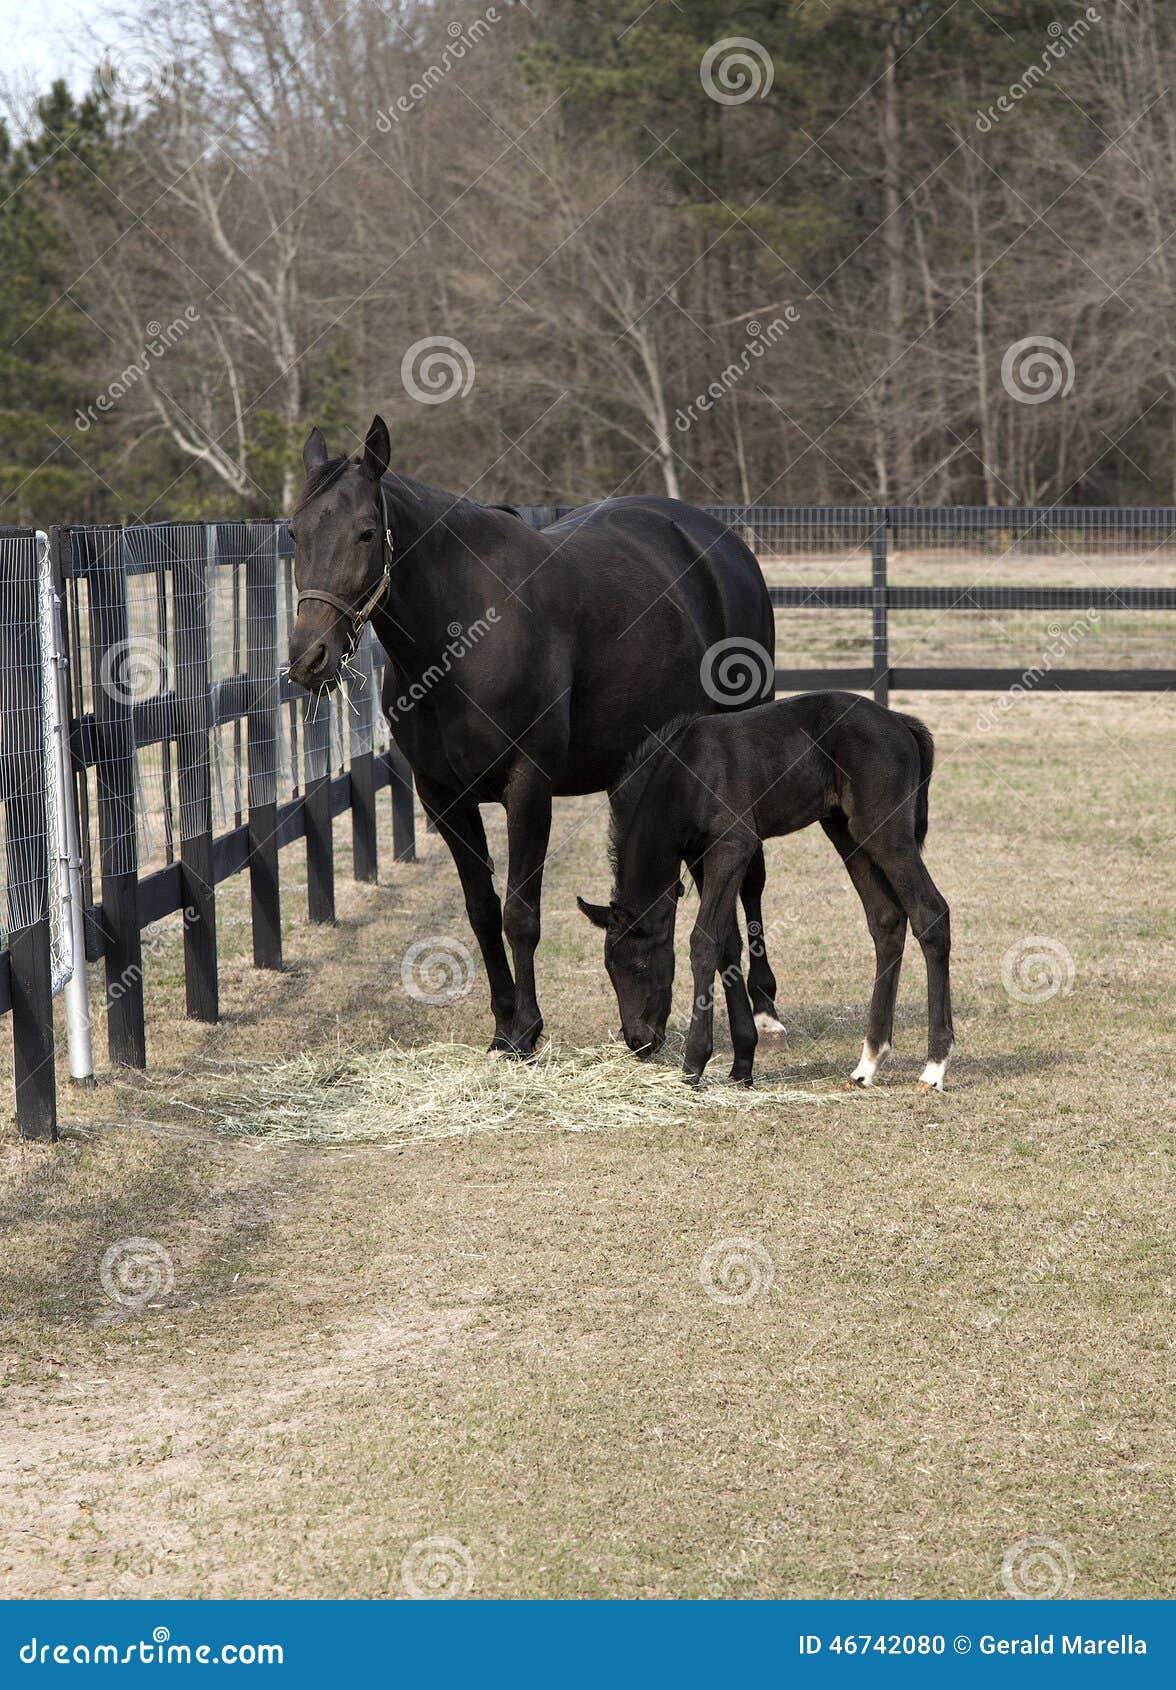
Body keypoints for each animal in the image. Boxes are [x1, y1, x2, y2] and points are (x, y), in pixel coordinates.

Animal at [286, 415, 784, 1057]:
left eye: (367, 534)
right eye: (294, 533)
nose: (309, 658)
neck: (463, 639)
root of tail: (721, 543)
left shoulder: (527, 788)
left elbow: (521, 913)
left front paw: (526, 1028)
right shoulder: (442, 797)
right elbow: (481, 908)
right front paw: (502, 1025)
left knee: (754, 874)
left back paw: (767, 1003)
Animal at [577, 691, 954, 1091]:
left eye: (638, 966)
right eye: (609, 970)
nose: (638, 1041)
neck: (687, 774)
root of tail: (899, 721)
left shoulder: (732, 847)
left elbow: (703, 942)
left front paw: (694, 1063)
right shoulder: (700, 857)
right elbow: (727, 943)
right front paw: (743, 1062)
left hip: (885, 833)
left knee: (931, 913)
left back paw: (934, 1067)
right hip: (846, 833)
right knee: (886, 922)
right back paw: (867, 1063)